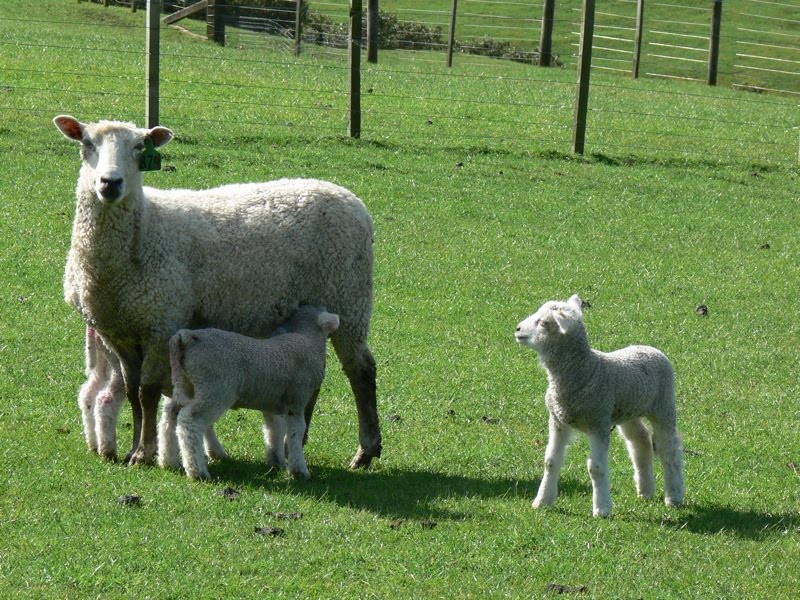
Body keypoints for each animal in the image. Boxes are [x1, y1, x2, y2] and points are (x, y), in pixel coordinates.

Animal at [158, 305, 340, 480]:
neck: (307, 339)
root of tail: (188, 336)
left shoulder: (273, 402)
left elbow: (274, 429)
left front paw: (277, 461)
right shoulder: (296, 400)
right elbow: (296, 432)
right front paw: (299, 471)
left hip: (185, 385)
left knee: (170, 416)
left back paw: (168, 461)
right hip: (216, 388)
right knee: (190, 420)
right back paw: (197, 472)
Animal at [514, 294, 684, 517]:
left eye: (543, 323)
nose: (517, 329)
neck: (585, 371)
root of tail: (650, 348)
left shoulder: (598, 423)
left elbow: (596, 468)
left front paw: (602, 509)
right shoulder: (558, 420)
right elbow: (550, 462)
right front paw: (542, 501)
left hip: (663, 406)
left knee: (669, 448)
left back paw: (674, 496)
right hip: (628, 411)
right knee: (641, 441)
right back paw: (645, 490)